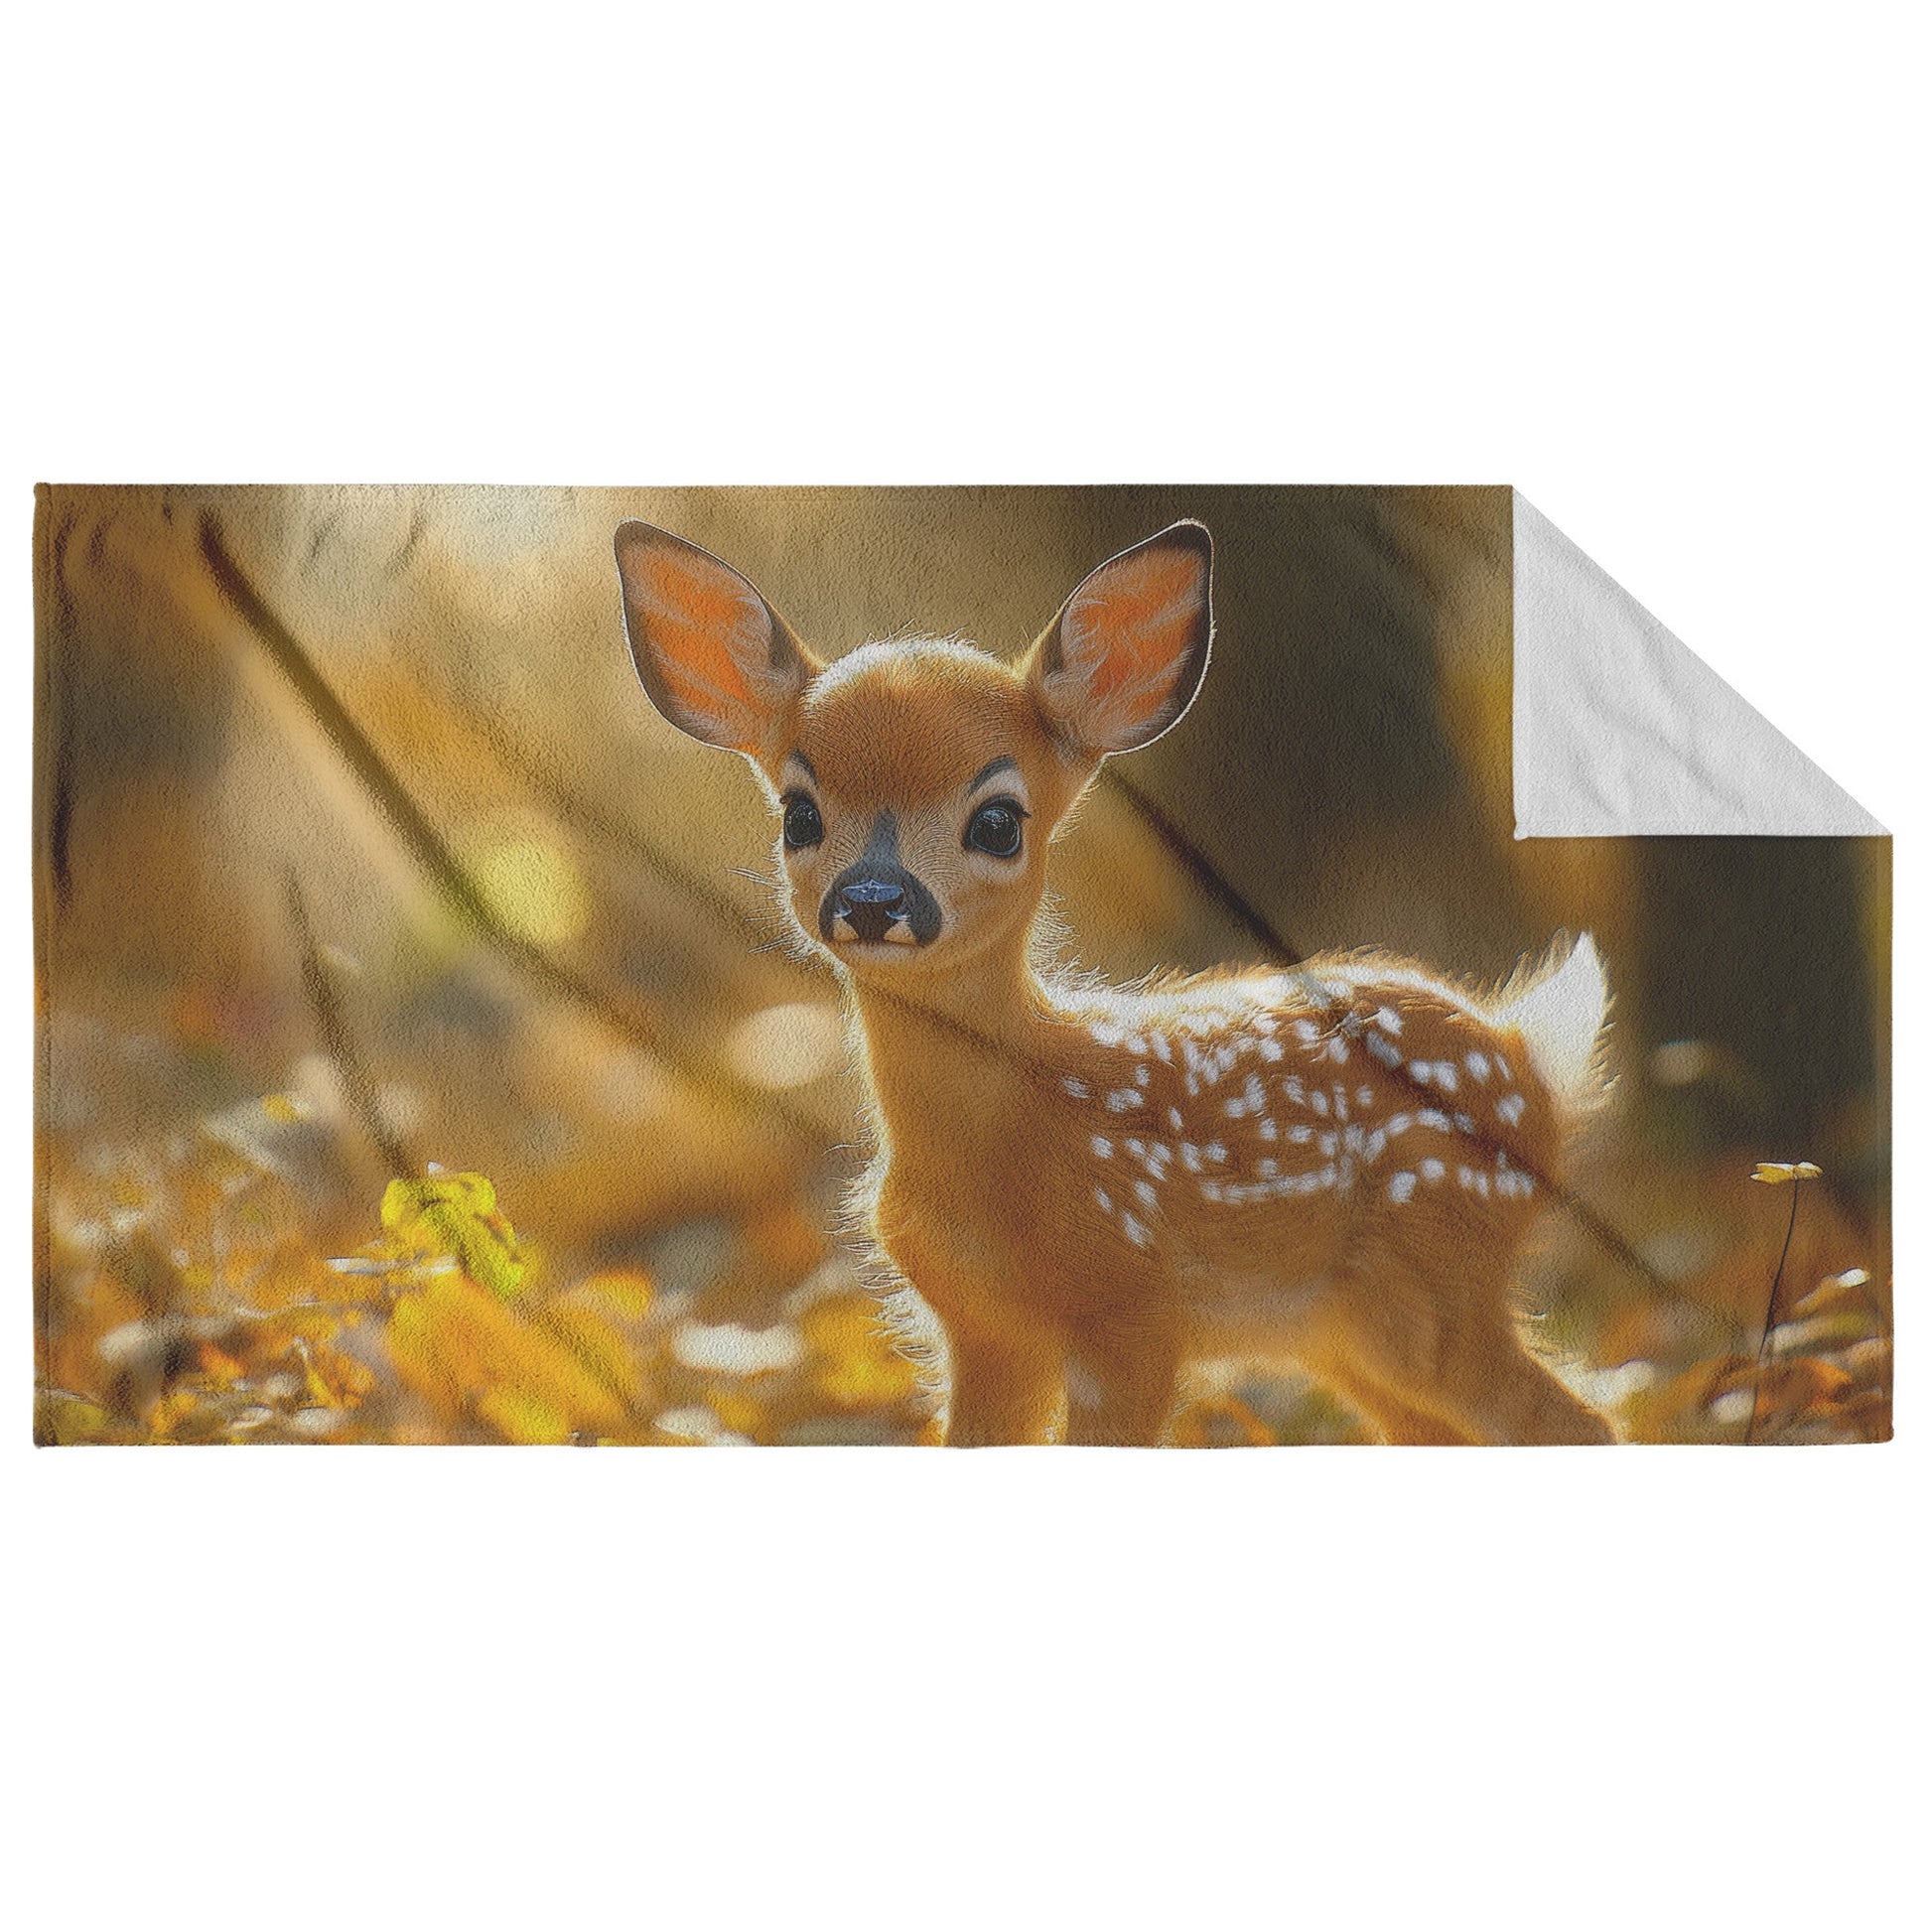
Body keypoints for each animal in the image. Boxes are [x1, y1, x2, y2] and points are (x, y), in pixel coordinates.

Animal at [613, 516, 1617, 1446]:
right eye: (799, 814)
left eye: (998, 822)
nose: (871, 899)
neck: (1006, 1140)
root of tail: (1531, 1058)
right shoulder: (981, 1330)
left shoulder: (1130, 1306)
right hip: (1343, 1332)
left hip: (1430, 1280)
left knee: (1579, 1422)